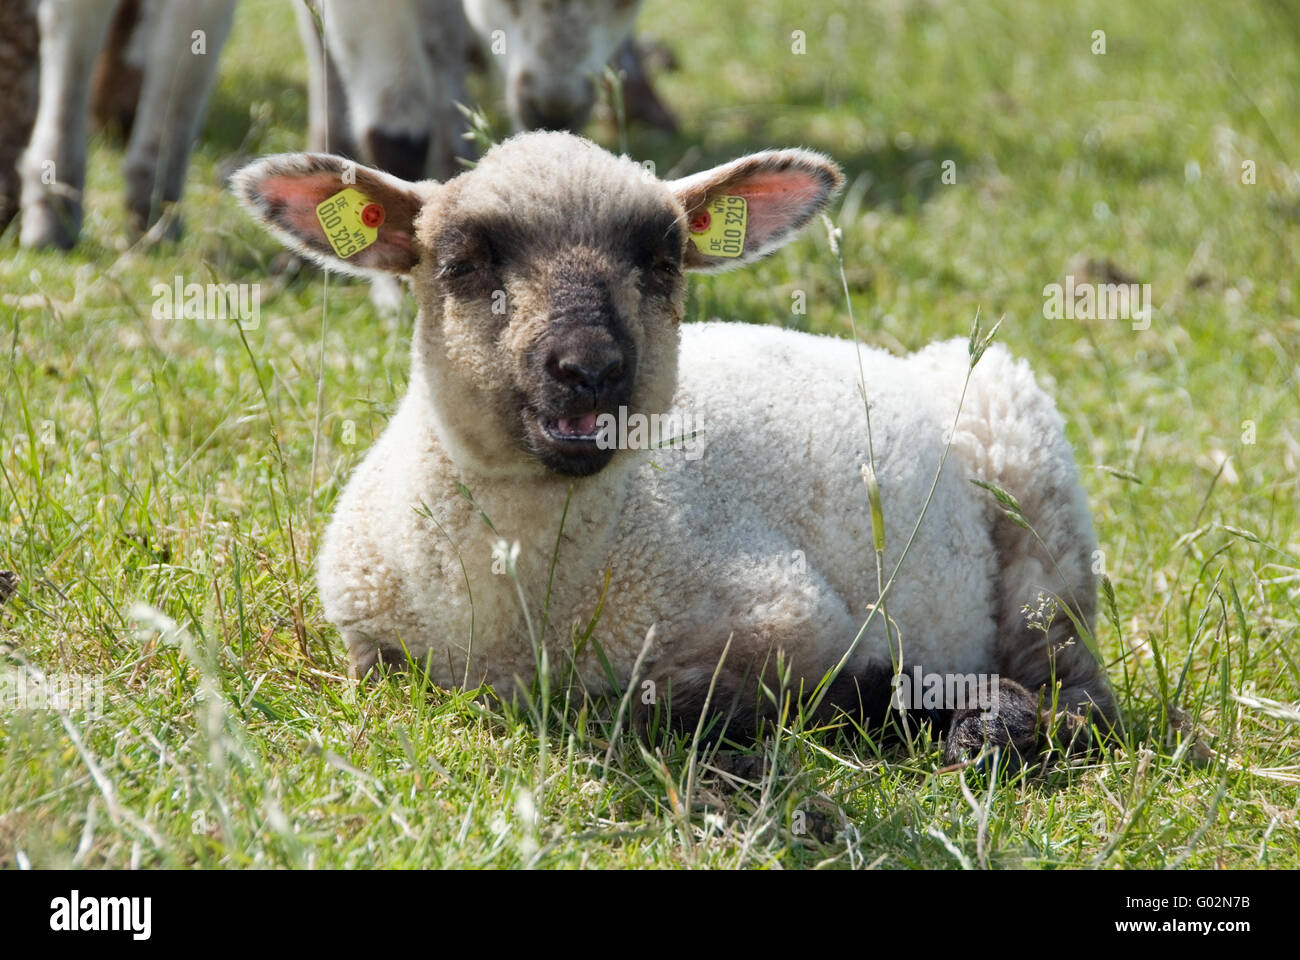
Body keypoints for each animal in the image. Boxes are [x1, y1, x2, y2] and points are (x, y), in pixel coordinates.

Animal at [232, 131, 1115, 762]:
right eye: (460, 262)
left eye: (661, 262)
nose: (589, 368)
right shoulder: (369, 642)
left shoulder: (794, 622)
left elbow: (689, 704)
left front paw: (929, 705)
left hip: (1035, 501)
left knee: (1076, 682)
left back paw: (1009, 726)